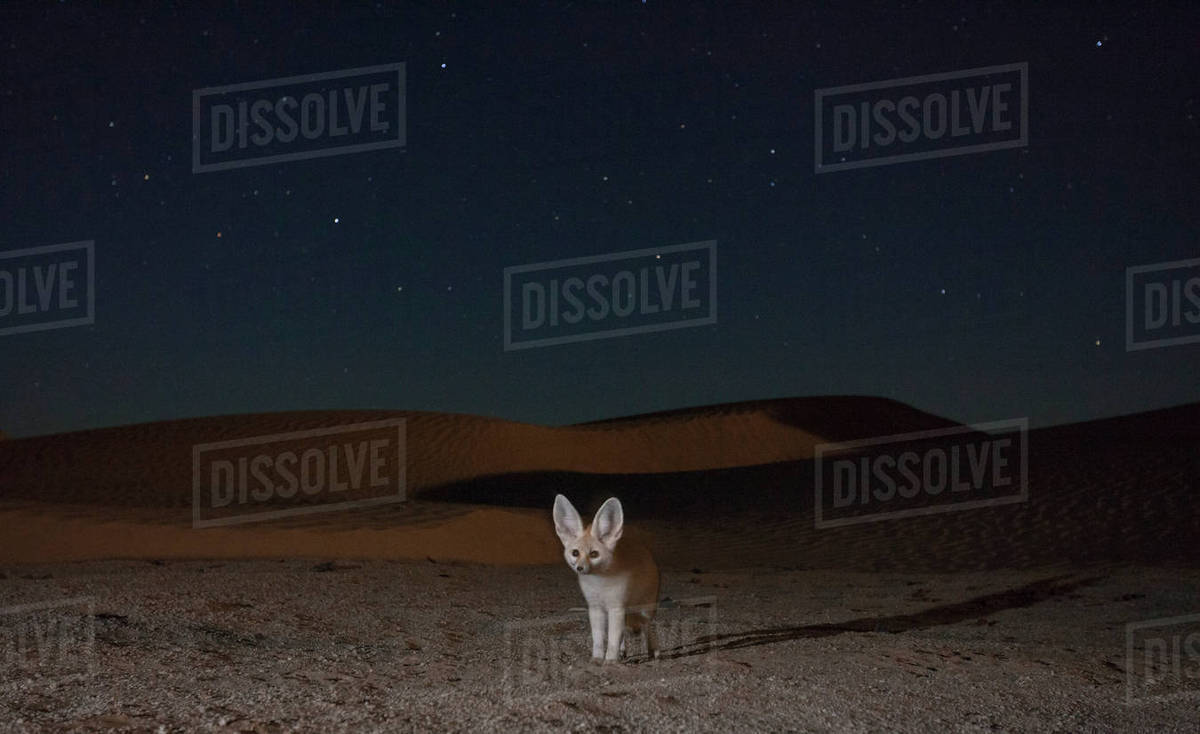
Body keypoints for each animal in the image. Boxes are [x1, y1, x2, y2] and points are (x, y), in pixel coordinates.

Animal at [552, 494, 660, 663]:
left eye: (594, 554)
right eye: (575, 553)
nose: (580, 568)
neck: (599, 585)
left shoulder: (616, 607)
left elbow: (613, 638)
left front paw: (610, 661)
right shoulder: (596, 608)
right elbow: (598, 639)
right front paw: (597, 659)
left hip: (646, 609)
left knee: (647, 627)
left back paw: (651, 650)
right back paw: (623, 651)